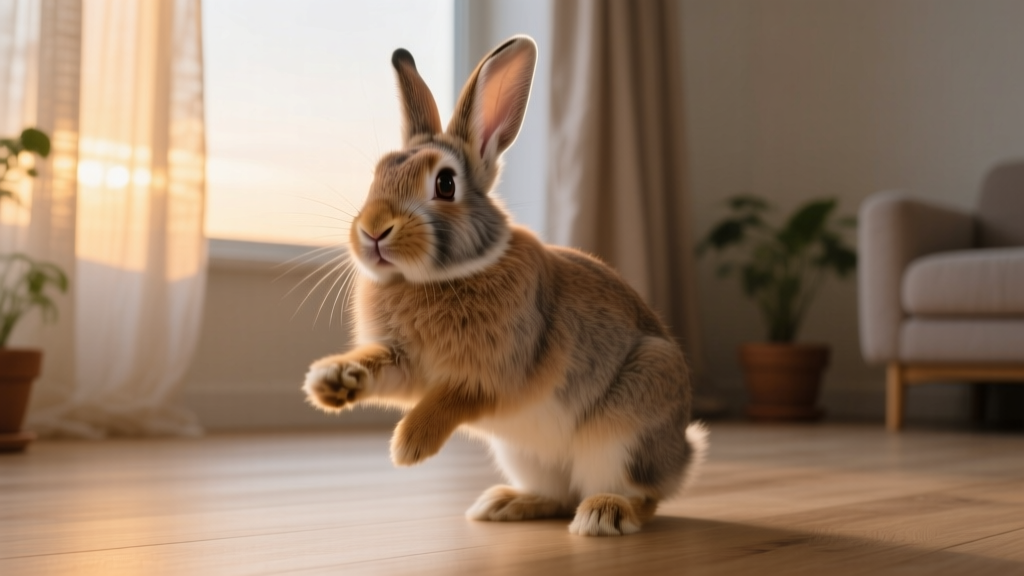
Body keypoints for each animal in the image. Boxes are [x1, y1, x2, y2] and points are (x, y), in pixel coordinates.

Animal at [302, 35, 707, 537]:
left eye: (445, 183)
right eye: (378, 175)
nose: (374, 230)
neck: (438, 278)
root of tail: (683, 454)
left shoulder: (499, 372)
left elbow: (455, 398)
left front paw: (409, 445)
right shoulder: (407, 363)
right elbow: (382, 368)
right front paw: (331, 382)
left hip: (629, 427)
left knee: (643, 496)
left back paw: (603, 514)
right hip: (526, 457)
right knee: (557, 496)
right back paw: (503, 504)